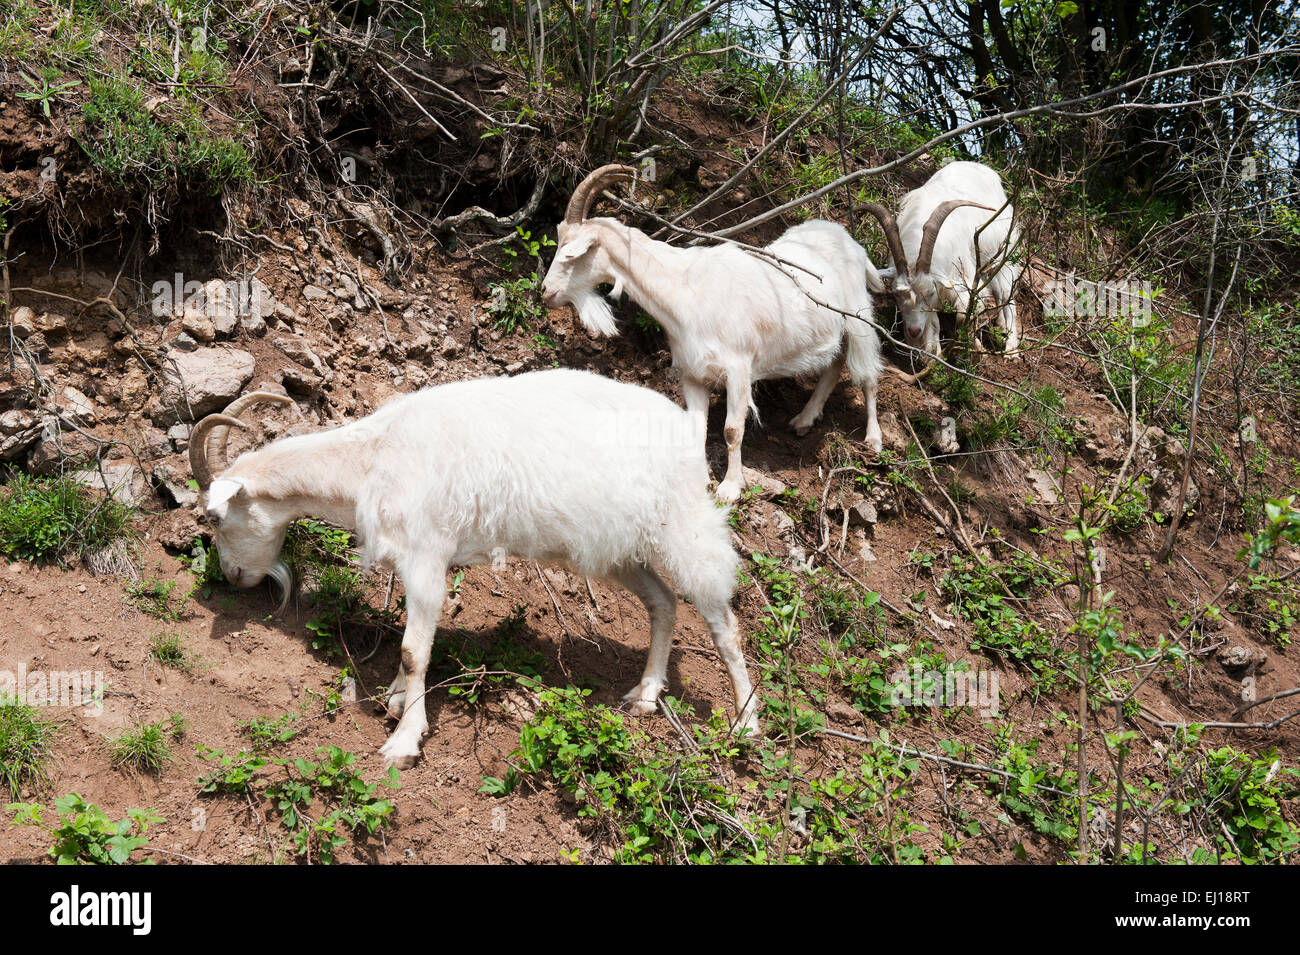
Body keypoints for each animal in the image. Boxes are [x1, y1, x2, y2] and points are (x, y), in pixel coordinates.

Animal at [188, 371, 759, 768]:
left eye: (214, 517)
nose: (235, 578)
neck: (374, 457)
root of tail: (685, 431)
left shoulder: (427, 555)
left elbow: (413, 649)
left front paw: (404, 741)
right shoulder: (417, 561)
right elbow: (411, 642)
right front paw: (398, 699)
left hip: (683, 523)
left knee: (722, 619)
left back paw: (746, 722)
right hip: (623, 550)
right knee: (663, 601)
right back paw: (645, 695)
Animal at [541, 165, 888, 502]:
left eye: (571, 250)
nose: (545, 291)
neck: (685, 289)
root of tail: (849, 240)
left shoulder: (738, 368)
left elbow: (732, 430)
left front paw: (730, 488)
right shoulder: (692, 374)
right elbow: (696, 428)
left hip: (859, 320)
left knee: (869, 375)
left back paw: (873, 439)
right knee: (834, 365)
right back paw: (804, 419)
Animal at [861, 161, 1022, 358]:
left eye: (929, 292)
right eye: (896, 294)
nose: (914, 331)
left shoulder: (962, 280)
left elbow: (965, 313)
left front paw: (976, 348)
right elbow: (934, 322)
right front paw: (934, 354)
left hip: (1005, 253)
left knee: (1008, 296)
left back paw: (1011, 350)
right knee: (999, 293)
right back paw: (1001, 325)